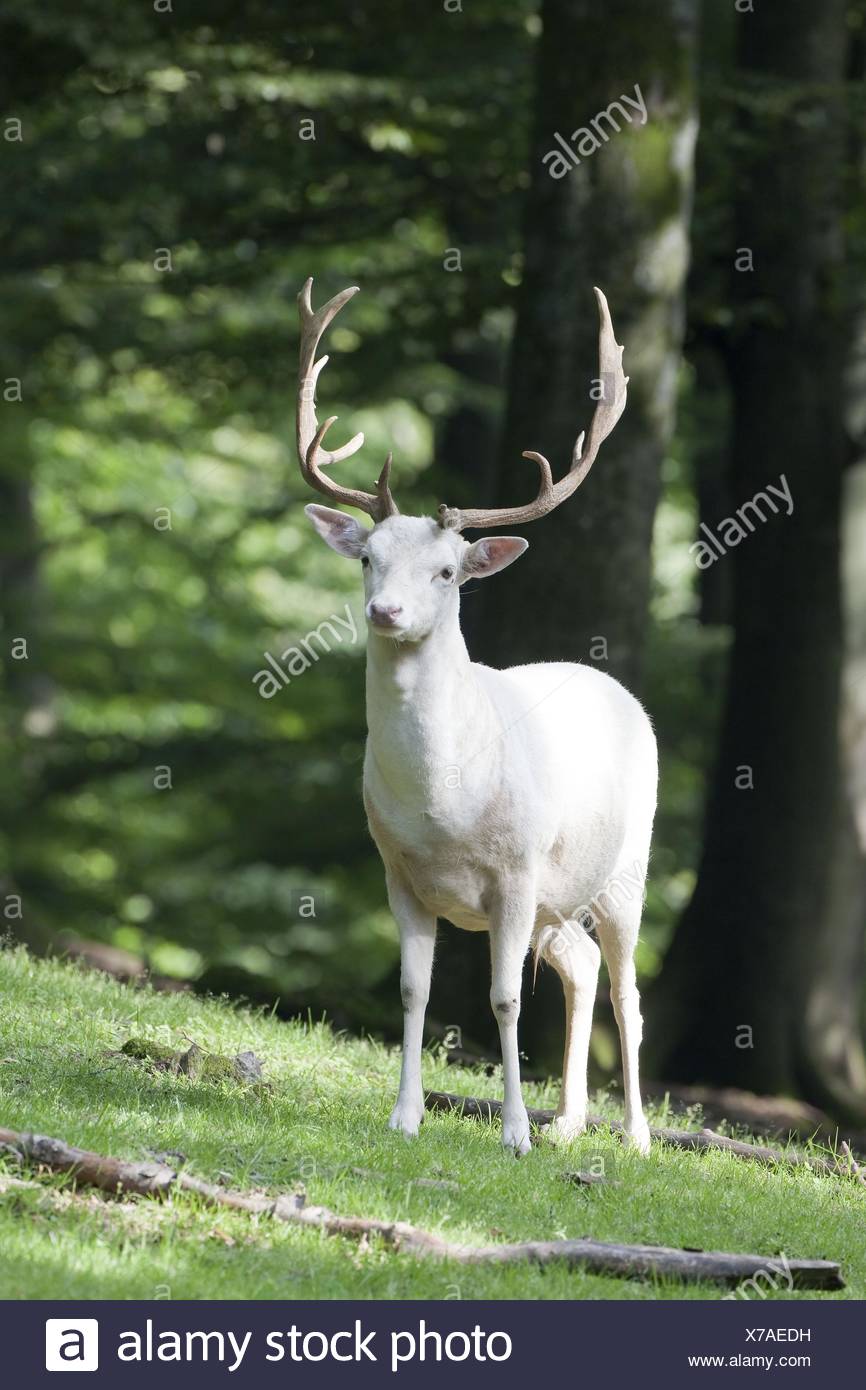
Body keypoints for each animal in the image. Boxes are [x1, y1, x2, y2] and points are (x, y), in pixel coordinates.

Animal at [297, 277, 657, 1156]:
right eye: (367, 558)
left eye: (447, 570)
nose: (387, 611)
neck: (444, 806)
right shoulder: (396, 869)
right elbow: (412, 991)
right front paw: (405, 1116)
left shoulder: (517, 872)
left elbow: (502, 999)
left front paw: (513, 1135)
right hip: (564, 895)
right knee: (580, 964)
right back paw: (570, 1122)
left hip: (626, 867)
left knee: (626, 987)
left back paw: (633, 1134)